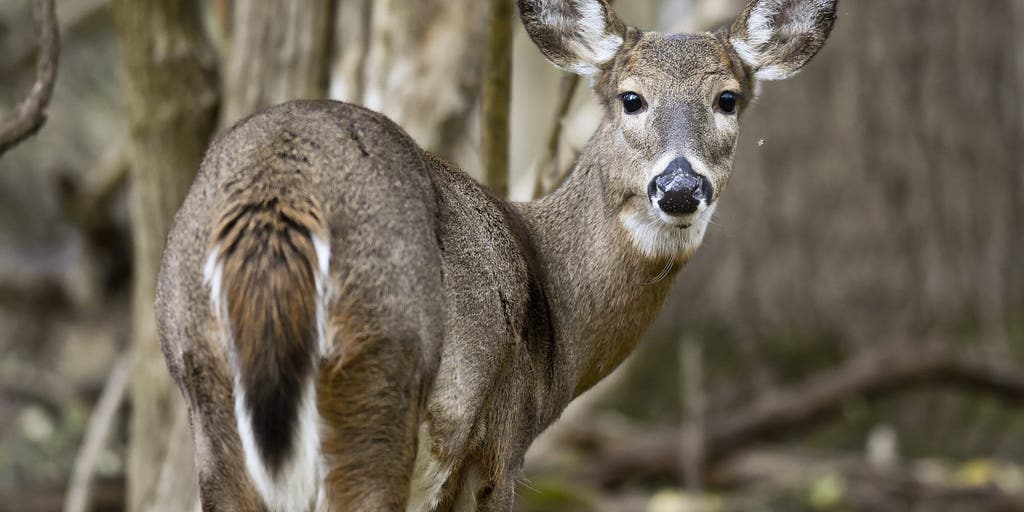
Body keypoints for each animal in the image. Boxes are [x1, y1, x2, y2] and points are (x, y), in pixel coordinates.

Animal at [155, 0, 837, 510]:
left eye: (727, 99)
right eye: (631, 98)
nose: (678, 187)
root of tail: (282, 196)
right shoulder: (499, 441)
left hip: (206, 390)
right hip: (380, 373)